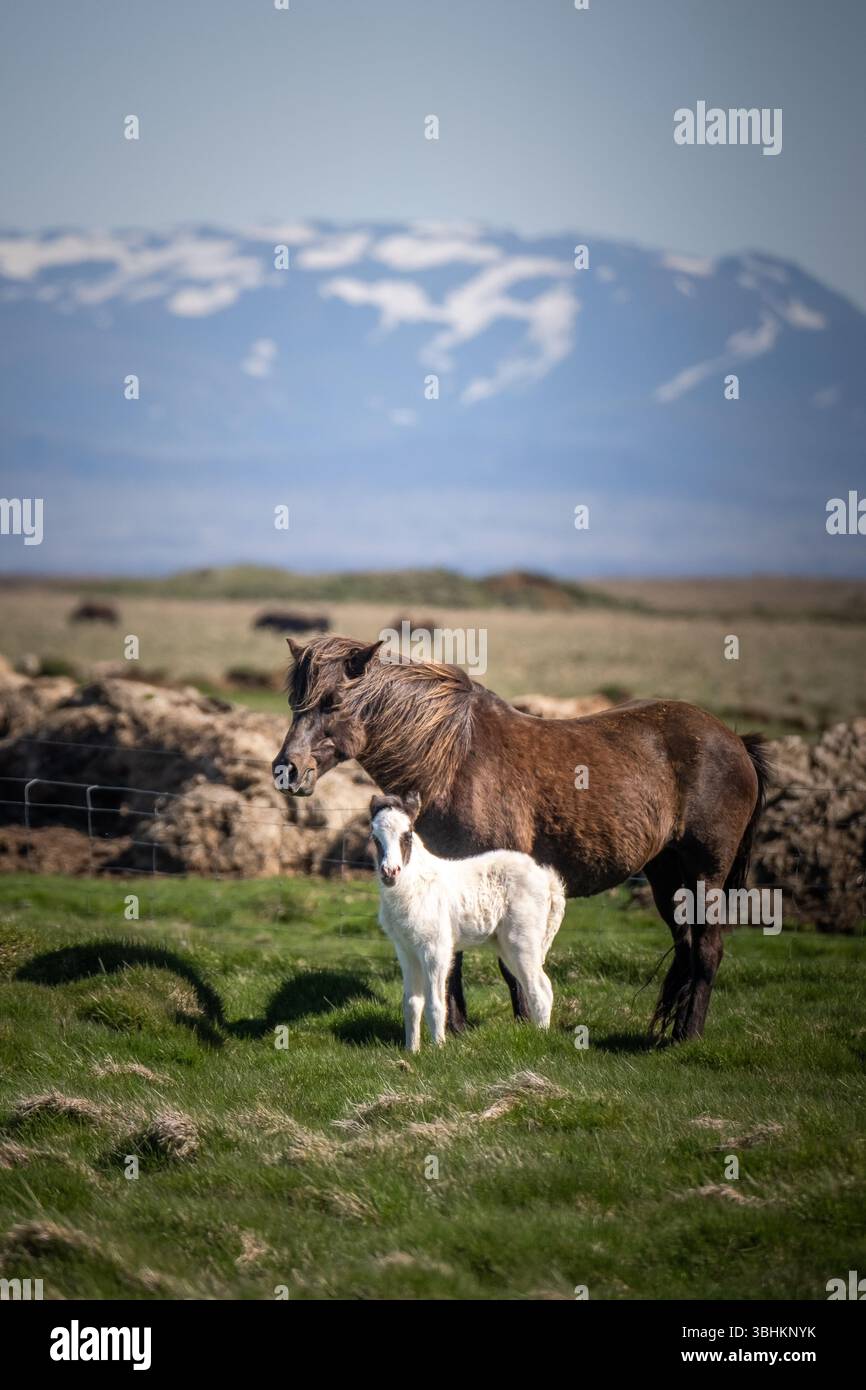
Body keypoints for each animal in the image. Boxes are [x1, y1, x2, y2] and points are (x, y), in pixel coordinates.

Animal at [272, 635, 770, 1043]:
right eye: (295, 701)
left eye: (333, 701)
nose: (286, 770)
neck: (454, 758)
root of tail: (735, 741)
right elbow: (457, 961)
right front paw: (462, 1026)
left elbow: (506, 965)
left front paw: (521, 1023)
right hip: (667, 874)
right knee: (685, 948)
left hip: (706, 874)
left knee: (707, 950)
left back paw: (687, 1036)